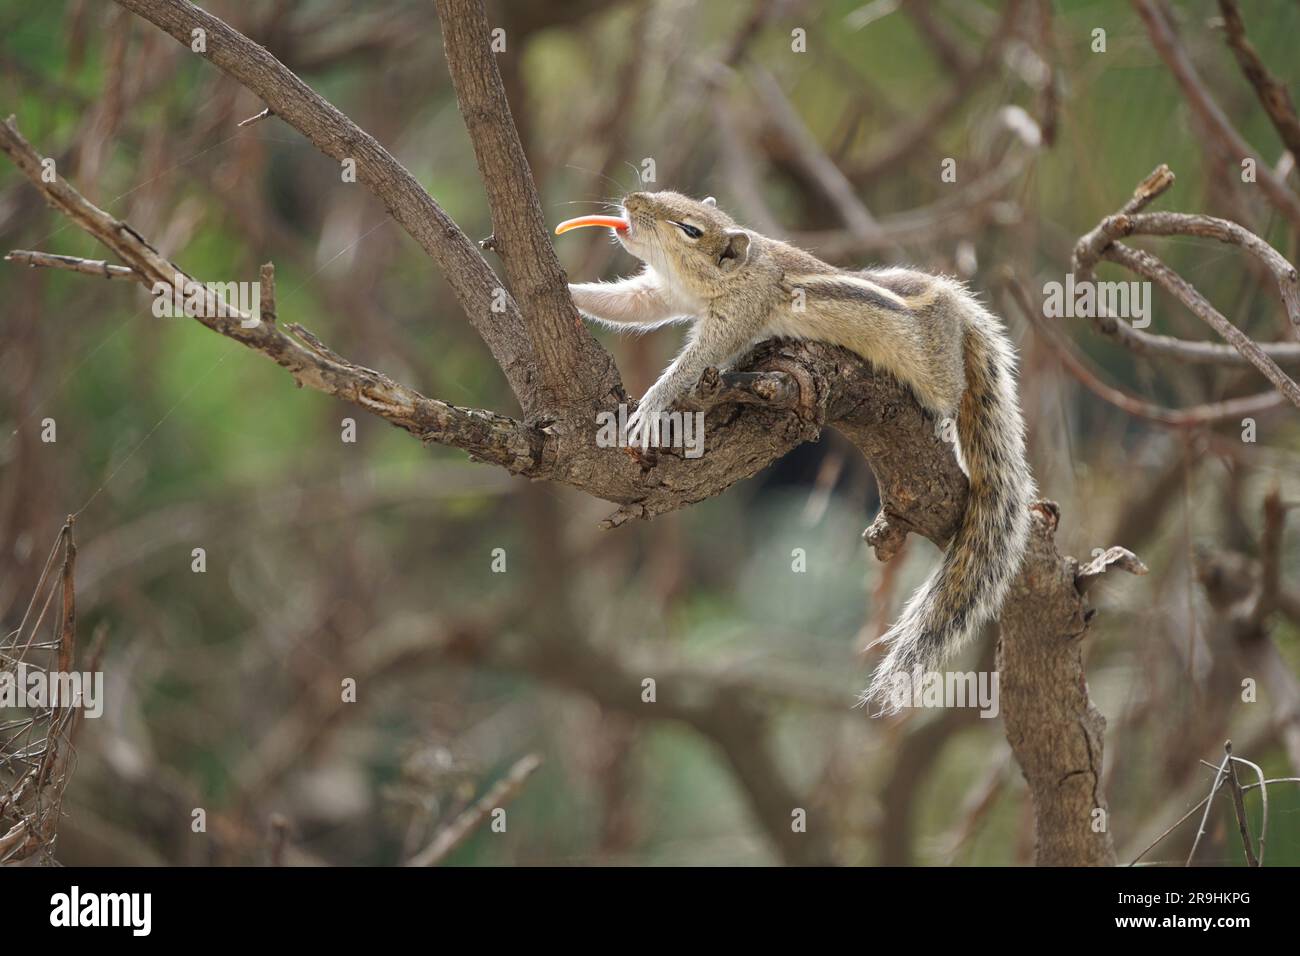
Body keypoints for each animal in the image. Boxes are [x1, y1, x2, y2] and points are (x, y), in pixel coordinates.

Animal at [564, 191, 1034, 707]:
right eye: (666, 196)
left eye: (690, 228)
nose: (632, 200)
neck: (735, 271)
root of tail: (959, 308)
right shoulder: (662, 294)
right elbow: (629, 303)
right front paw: (559, 289)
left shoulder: (738, 315)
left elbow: (694, 363)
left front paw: (651, 405)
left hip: (934, 365)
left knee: (953, 390)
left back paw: (947, 421)